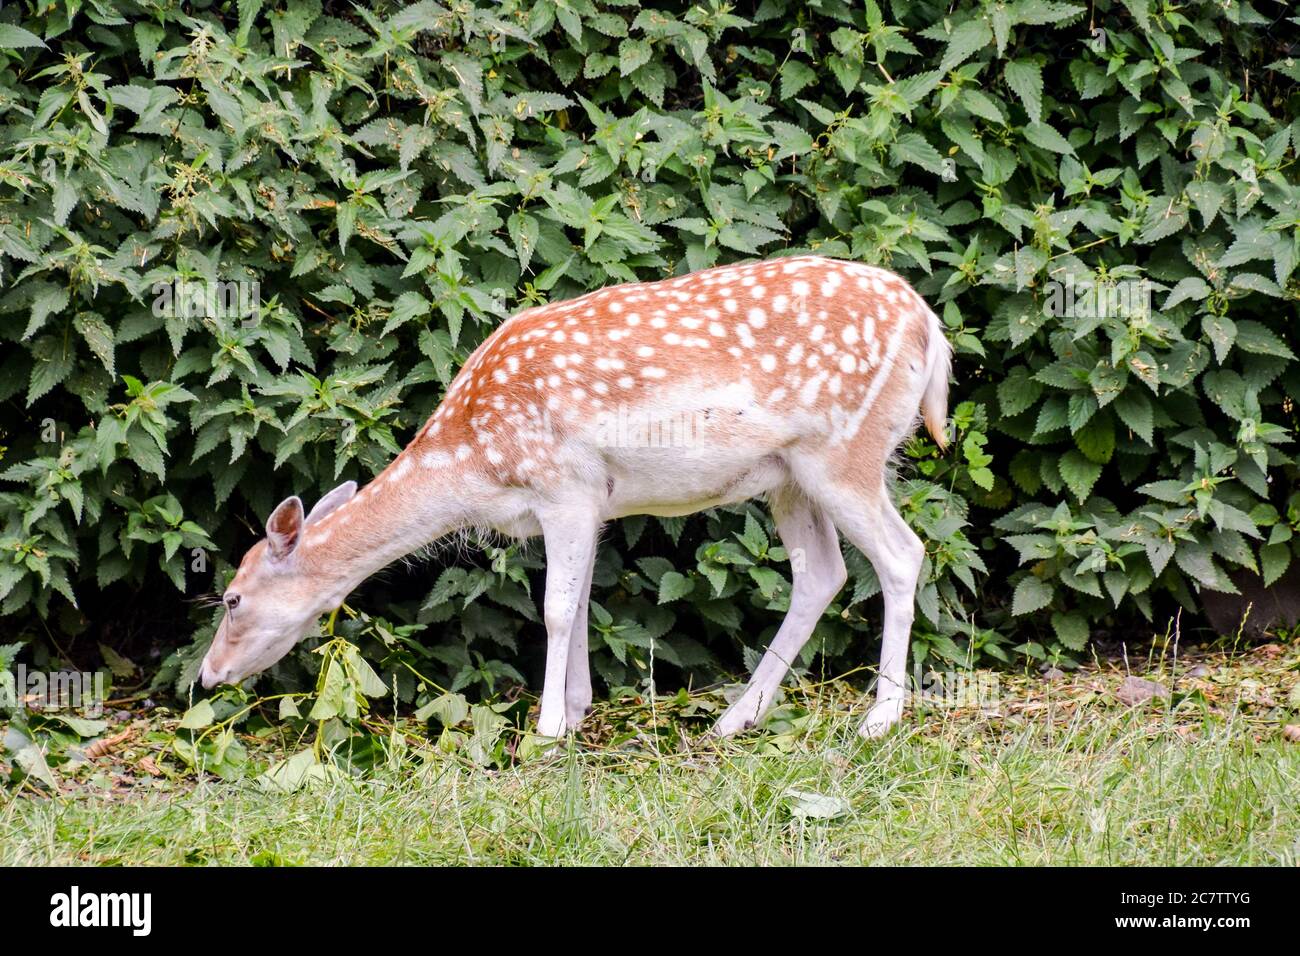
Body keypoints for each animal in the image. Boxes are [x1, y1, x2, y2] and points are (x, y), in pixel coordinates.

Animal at [199, 255, 952, 740]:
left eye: (232, 598)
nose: (207, 677)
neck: (474, 462)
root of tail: (931, 330)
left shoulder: (563, 485)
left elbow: (556, 610)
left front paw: (549, 728)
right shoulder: (592, 502)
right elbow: (584, 600)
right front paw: (582, 708)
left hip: (844, 453)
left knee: (902, 555)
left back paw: (879, 722)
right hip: (789, 477)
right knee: (821, 575)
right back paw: (736, 718)